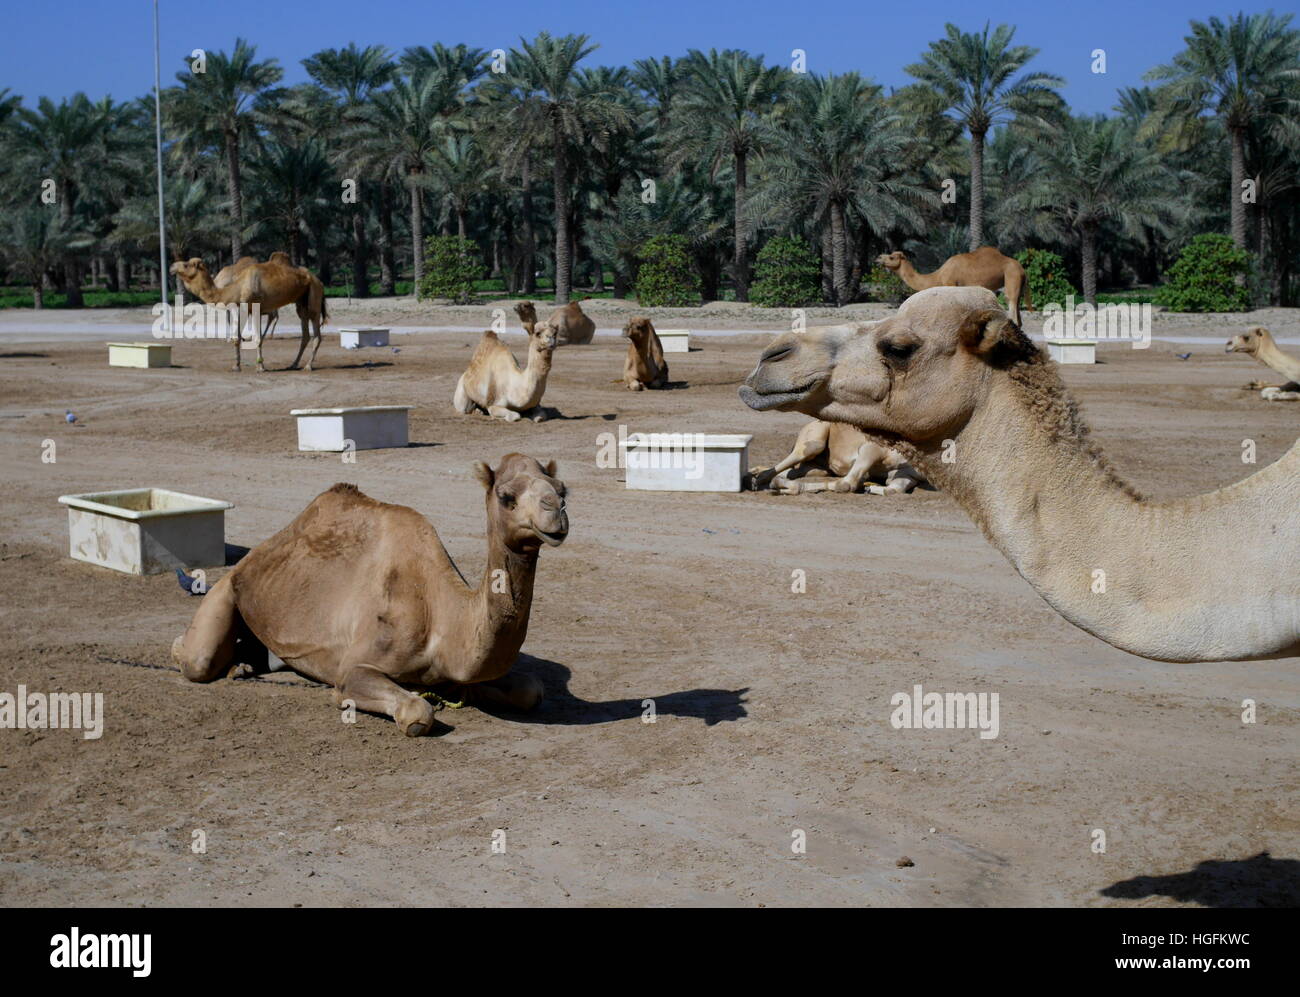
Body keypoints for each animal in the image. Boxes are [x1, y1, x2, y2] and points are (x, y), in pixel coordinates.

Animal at [169, 257, 327, 371]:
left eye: (186, 264)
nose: (171, 266)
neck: (236, 288)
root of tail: (319, 281)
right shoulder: (242, 308)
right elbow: (237, 338)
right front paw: (236, 366)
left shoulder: (255, 308)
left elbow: (257, 338)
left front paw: (260, 367)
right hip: (301, 302)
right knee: (305, 332)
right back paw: (294, 364)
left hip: (314, 295)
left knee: (316, 331)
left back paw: (308, 366)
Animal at [172, 454, 568, 735]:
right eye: (506, 496)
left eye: (562, 489)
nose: (555, 511)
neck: (441, 618)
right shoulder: (356, 666)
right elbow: (416, 711)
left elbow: (531, 690)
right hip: (226, 589)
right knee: (196, 659)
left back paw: (243, 666)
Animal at [752, 420, 924, 495]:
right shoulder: (871, 448)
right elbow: (846, 484)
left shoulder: (907, 474)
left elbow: (892, 490)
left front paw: (869, 487)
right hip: (813, 444)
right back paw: (757, 480)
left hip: (819, 468)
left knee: (793, 471)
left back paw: (755, 473)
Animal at [877, 247, 1031, 327]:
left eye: (891, 257)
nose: (878, 258)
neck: (938, 276)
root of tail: (1022, 269)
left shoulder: (950, 284)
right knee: (1019, 316)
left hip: (1011, 276)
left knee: (1012, 310)